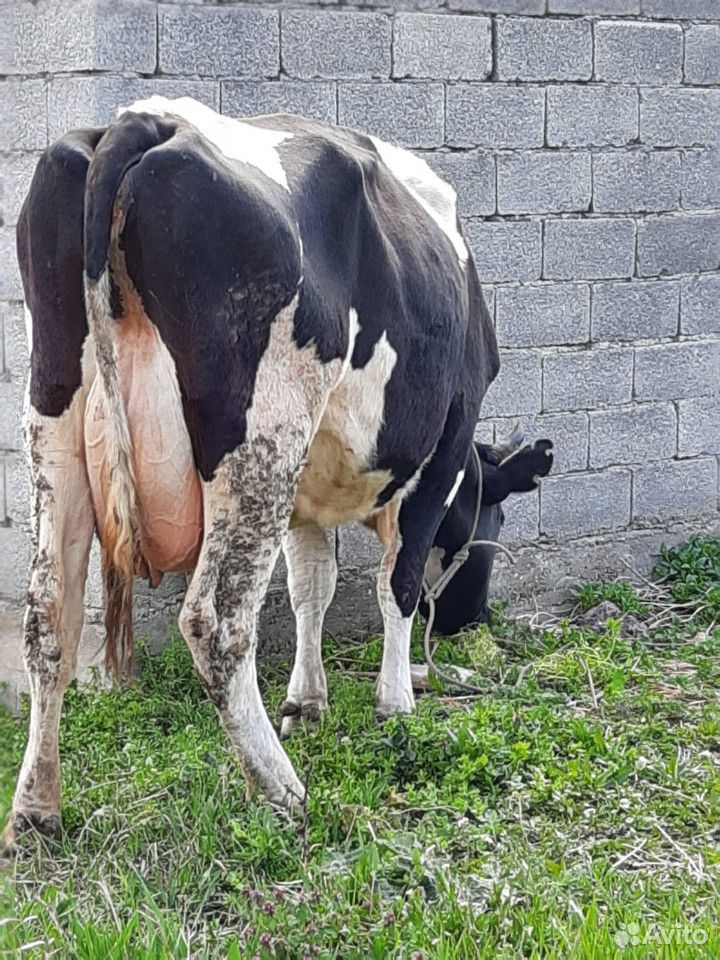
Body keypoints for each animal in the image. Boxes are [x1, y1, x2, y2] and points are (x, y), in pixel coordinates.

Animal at [5, 97, 552, 848]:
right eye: (494, 516)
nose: (472, 618)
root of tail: (144, 120)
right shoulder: (445, 444)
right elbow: (399, 582)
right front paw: (395, 702)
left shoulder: (306, 487)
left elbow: (311, 589)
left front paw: (306, 702)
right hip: (261, 436)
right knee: (214, 620)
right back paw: (282, 790)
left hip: (56, 410)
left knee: (47, 612)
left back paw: (36, 809)